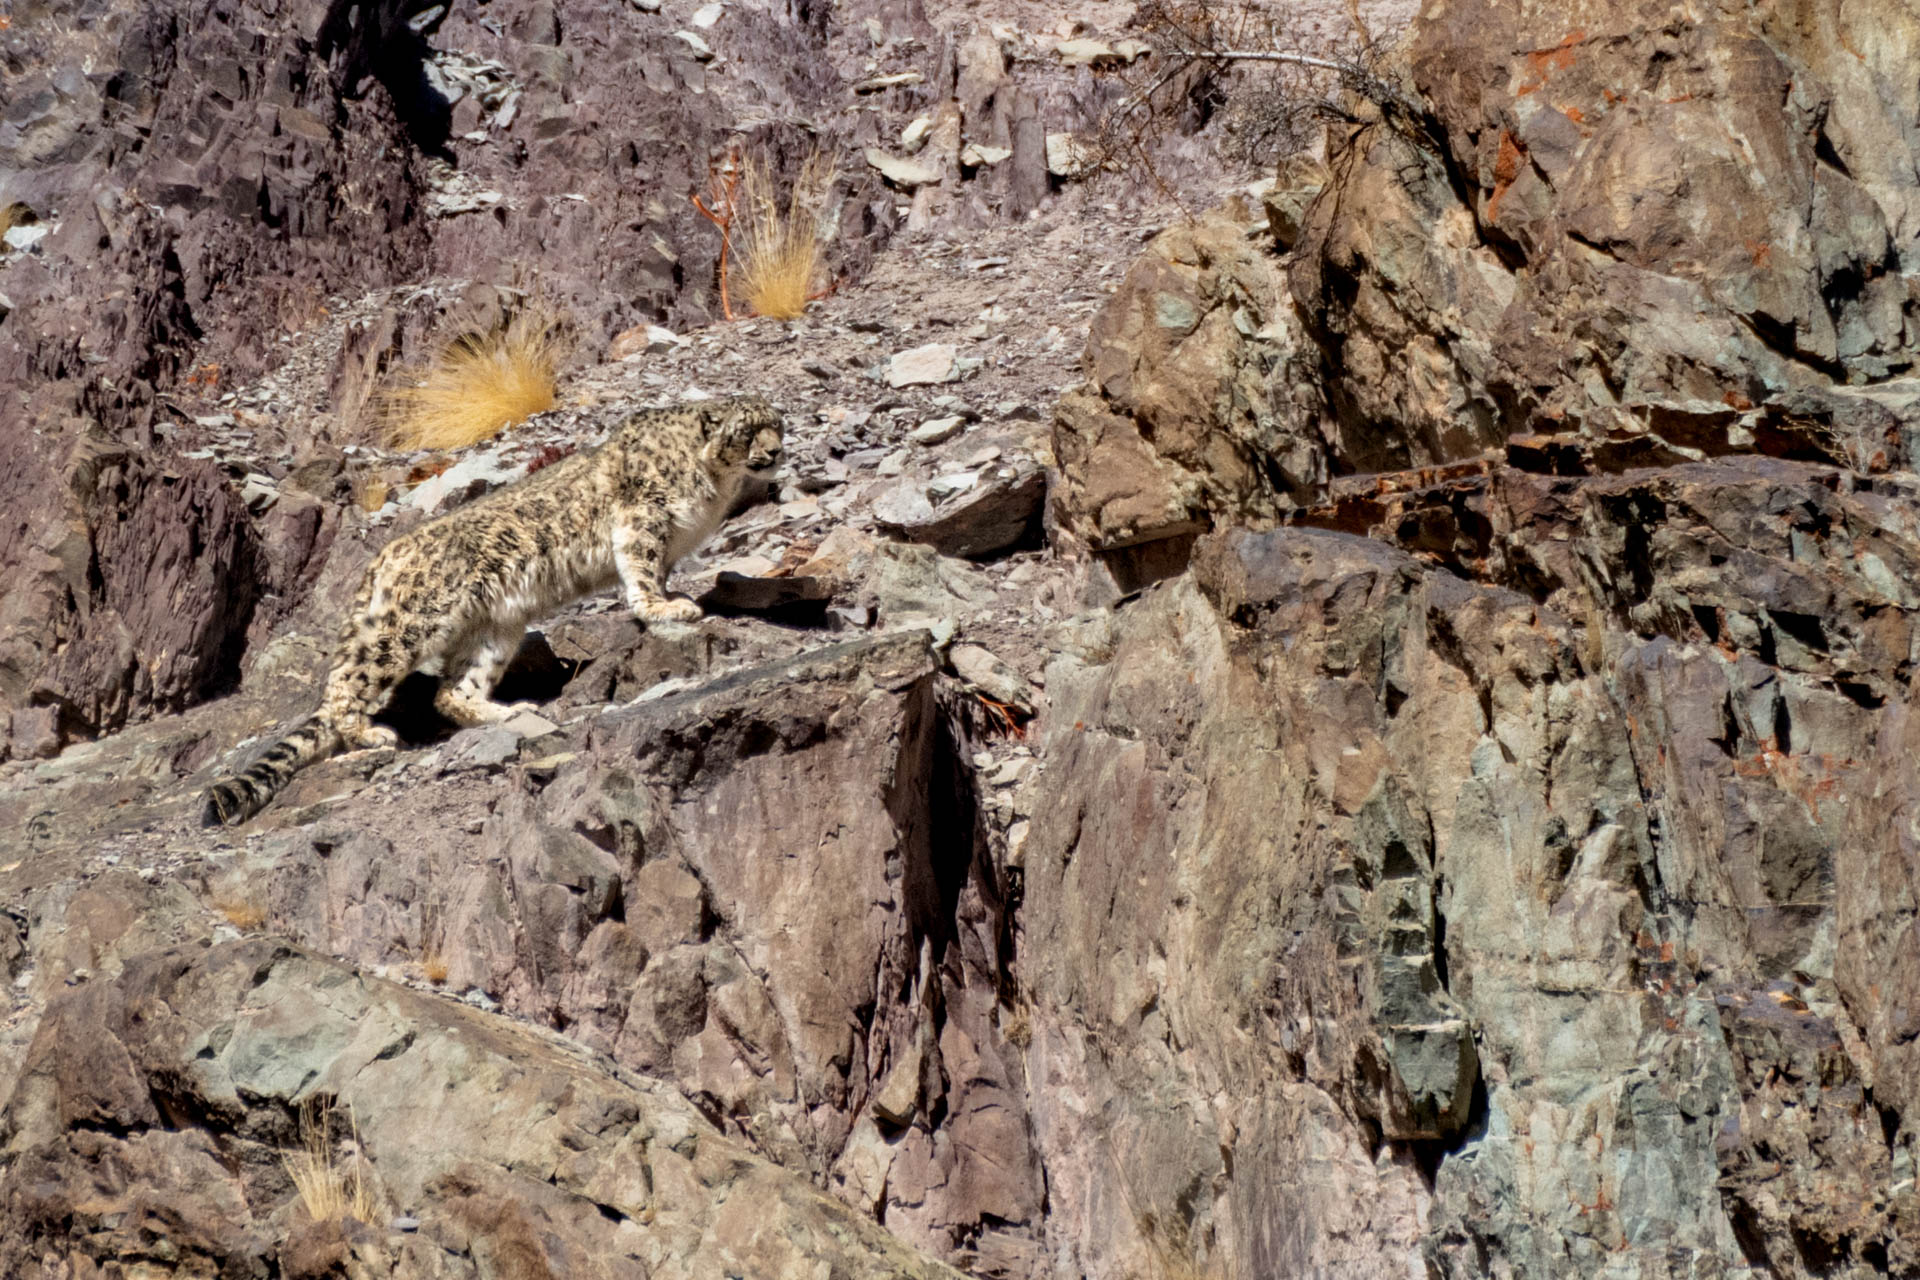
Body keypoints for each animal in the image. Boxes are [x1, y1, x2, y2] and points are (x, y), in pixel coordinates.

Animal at [201, 394, 784, 827]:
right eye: (749, 430)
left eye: (776, 423)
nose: (777, 451)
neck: (713, 489)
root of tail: (382, 559)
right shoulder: (642, 523)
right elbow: (641, 571)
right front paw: (666, 607)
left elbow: (658, 572)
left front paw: (670, 598)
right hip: (406, 627)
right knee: (352, 683)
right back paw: (371, 734)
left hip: (494, 629)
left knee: (452, 691)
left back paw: (507, 712)